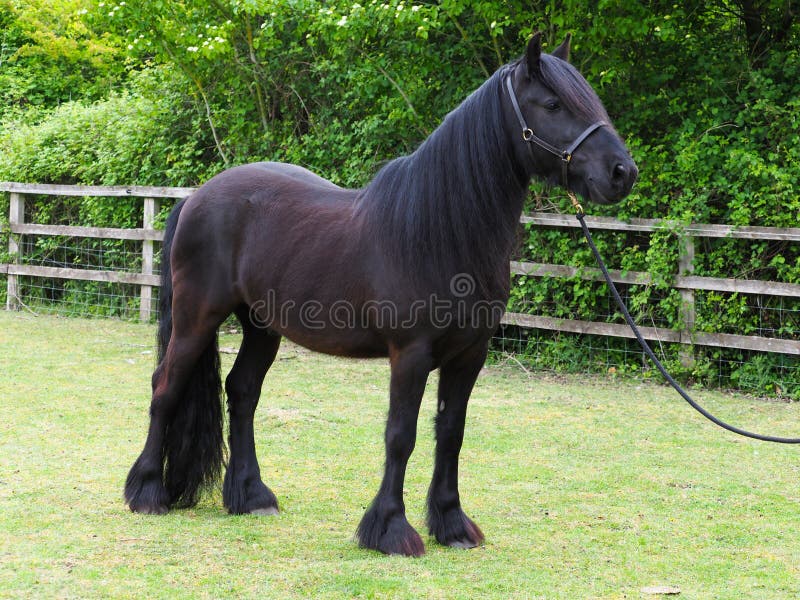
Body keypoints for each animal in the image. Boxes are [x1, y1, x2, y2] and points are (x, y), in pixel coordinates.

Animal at [124, 32, 637, 557]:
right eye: (553, 104)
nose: (623, 172)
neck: (441, 232)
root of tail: (196, 197)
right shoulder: (409, 355)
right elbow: (401, 436)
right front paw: (390, 529)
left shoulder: (468, 356)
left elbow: (450, 434)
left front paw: (452, 524)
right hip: (196, 318)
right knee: (165, 387)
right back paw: (147, 492)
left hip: (262, 327)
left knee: (242, 392)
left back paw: (251, 496)